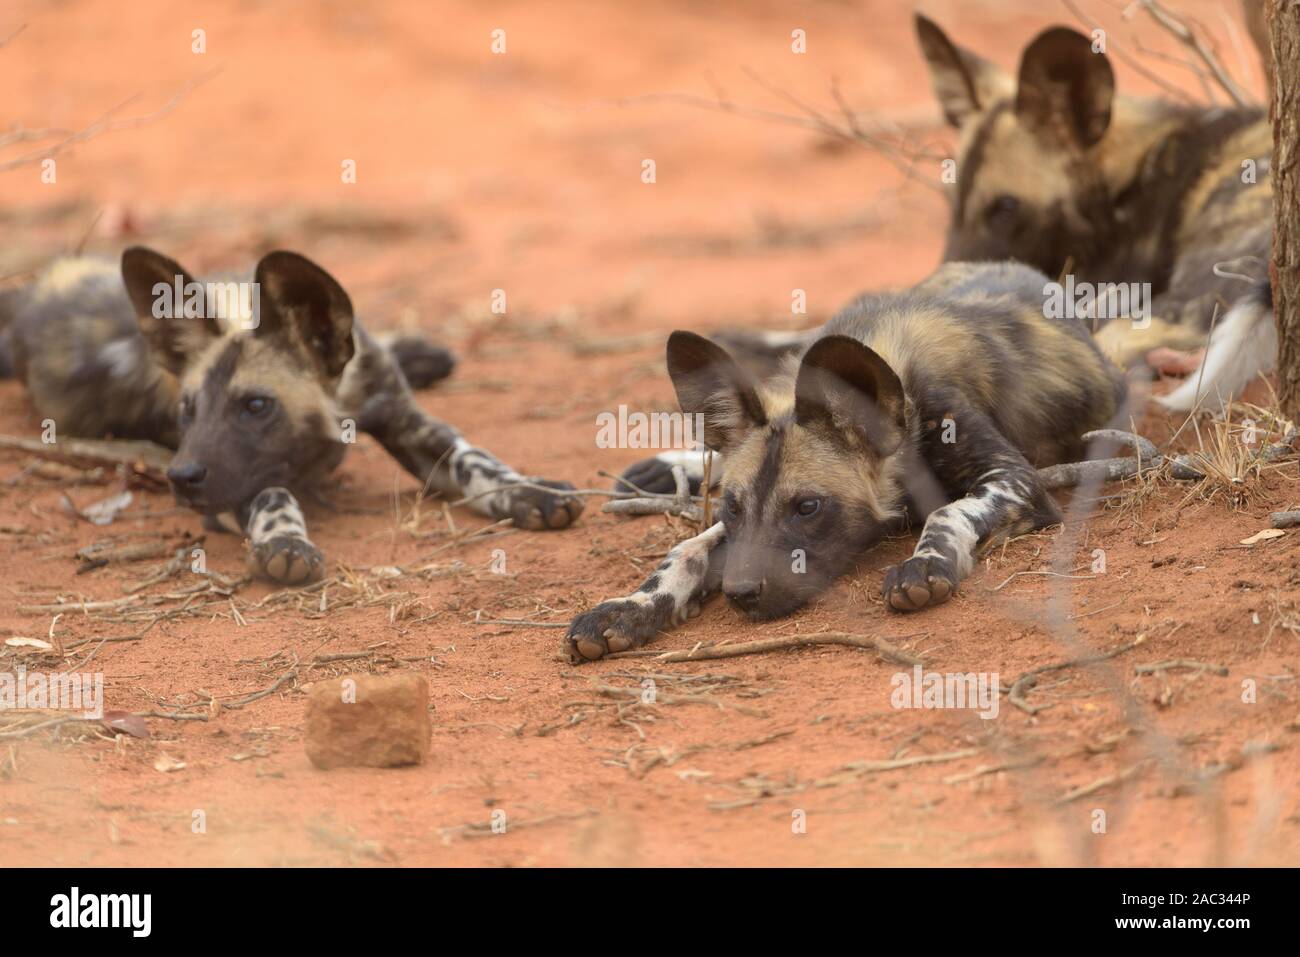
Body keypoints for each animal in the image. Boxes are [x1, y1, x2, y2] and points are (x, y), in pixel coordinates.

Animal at [0, 248, 584, 583]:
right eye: (188, 410)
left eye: (256, 406)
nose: (179, 478)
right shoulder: (228, 485)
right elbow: (271, 492)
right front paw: (286, 543)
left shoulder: (409, 424)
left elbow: (476, 461)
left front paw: (531, 491)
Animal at [566, 261, 1126, 661]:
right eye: (733, 507)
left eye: (808, 507)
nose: (740, 593)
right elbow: (686, 550)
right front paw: (629, 608)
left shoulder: (1015, 480)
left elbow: (949, 511)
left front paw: (925, 565)